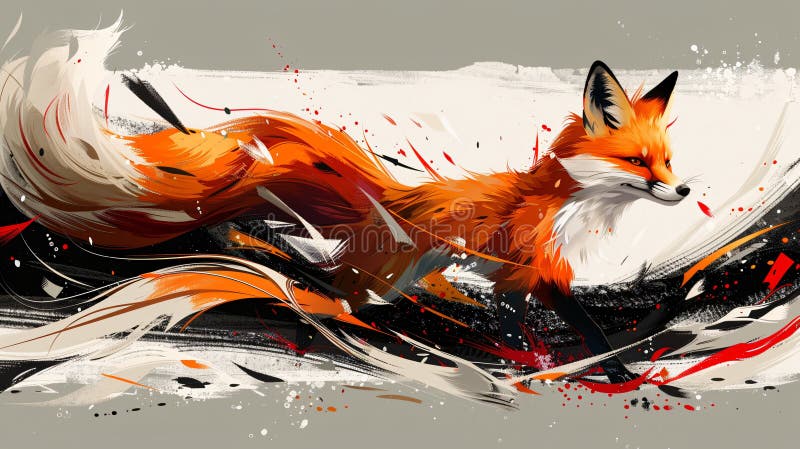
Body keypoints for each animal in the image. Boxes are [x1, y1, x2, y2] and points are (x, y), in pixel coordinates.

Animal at [2, 56, 687, 383]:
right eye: (638, 160)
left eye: (668, 158)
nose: (682, 189)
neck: (574, 204)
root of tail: (392, 200)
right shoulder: (533, 267)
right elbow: (583, 328)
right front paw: (616, 367)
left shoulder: (519, 277)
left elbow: (527, 319)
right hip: (379, 274)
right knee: (335, 288)